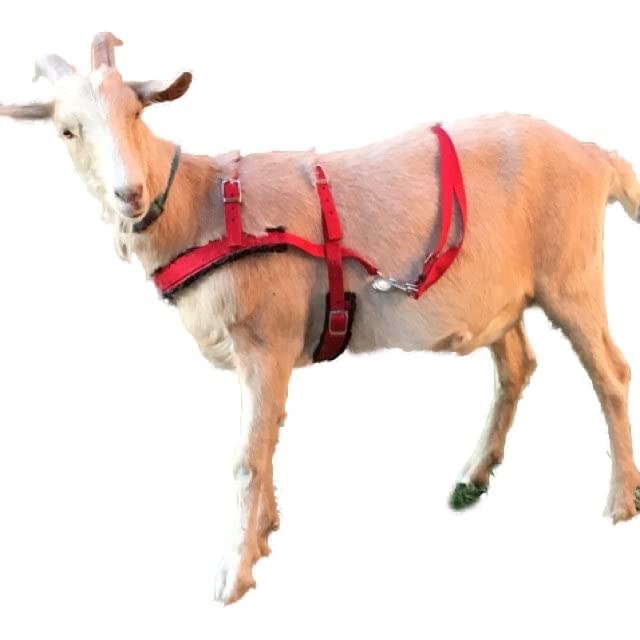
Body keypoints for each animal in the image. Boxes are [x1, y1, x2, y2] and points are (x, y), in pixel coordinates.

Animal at [1, 32, 639, 605]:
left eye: (136, 111)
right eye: (66, 130)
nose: (130, 194)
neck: (202, 208)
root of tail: (596, 156)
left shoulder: (264, 338)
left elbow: (247, 459)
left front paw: (233, 574)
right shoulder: (271, 350)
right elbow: (269, 440)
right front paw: (264, 535)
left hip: (571, 273)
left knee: (610, 373)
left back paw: (619, 499)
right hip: (500, 295)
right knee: (516, 366)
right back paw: (474, 475)